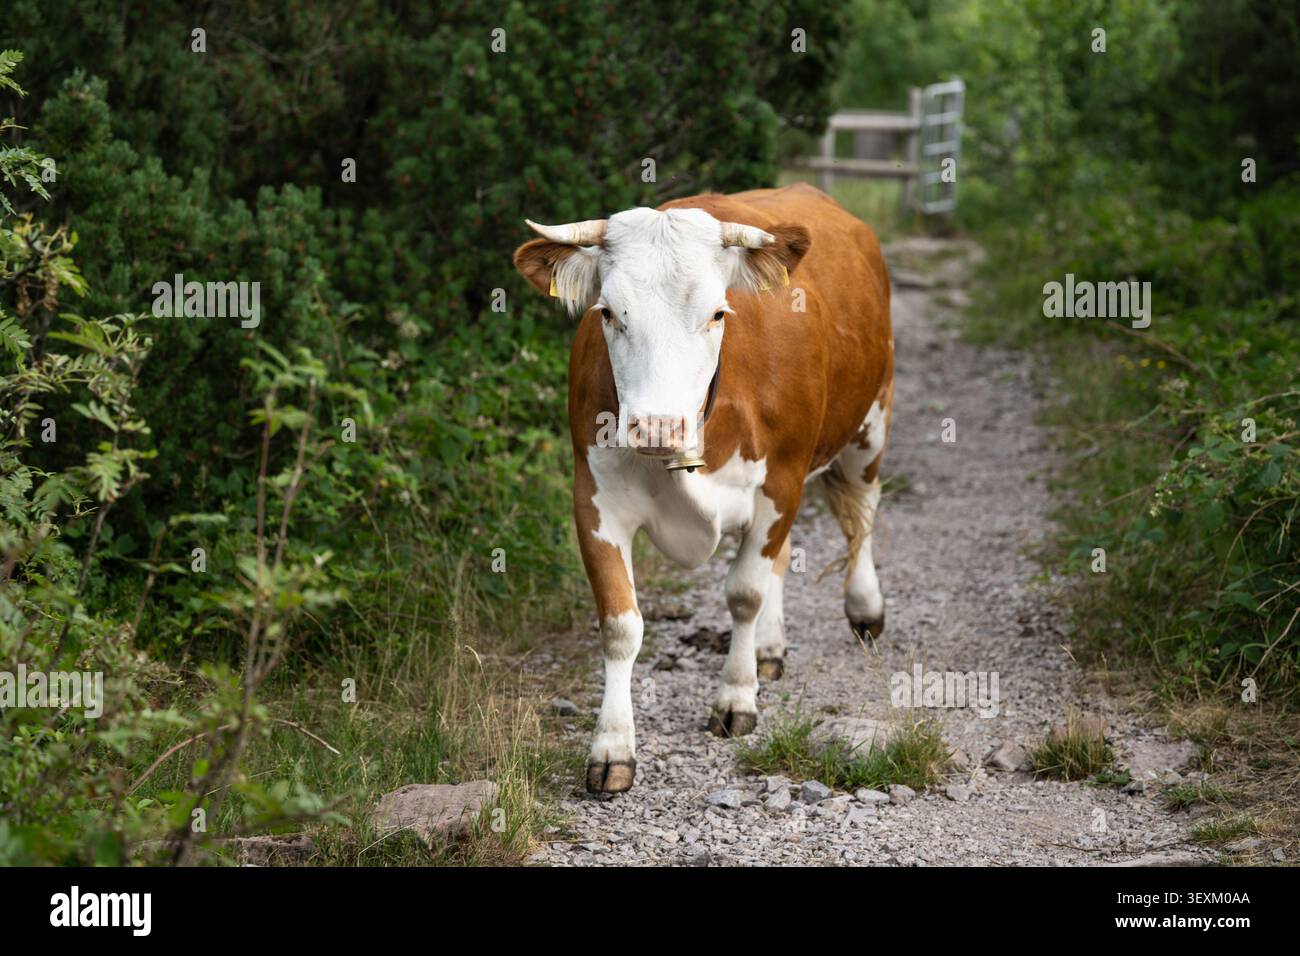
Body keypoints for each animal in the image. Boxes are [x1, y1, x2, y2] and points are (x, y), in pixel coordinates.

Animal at [513, 183, 893, 793]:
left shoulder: (781, 482)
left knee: (861, 513)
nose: (655, 426)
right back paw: (769, 647)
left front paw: (735, 698)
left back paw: (863, 608)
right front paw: (613, 747)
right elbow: (620, 625)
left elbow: (744, 594)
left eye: (718, 313)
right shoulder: (594, 500)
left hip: (870, 423)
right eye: (608, 312)